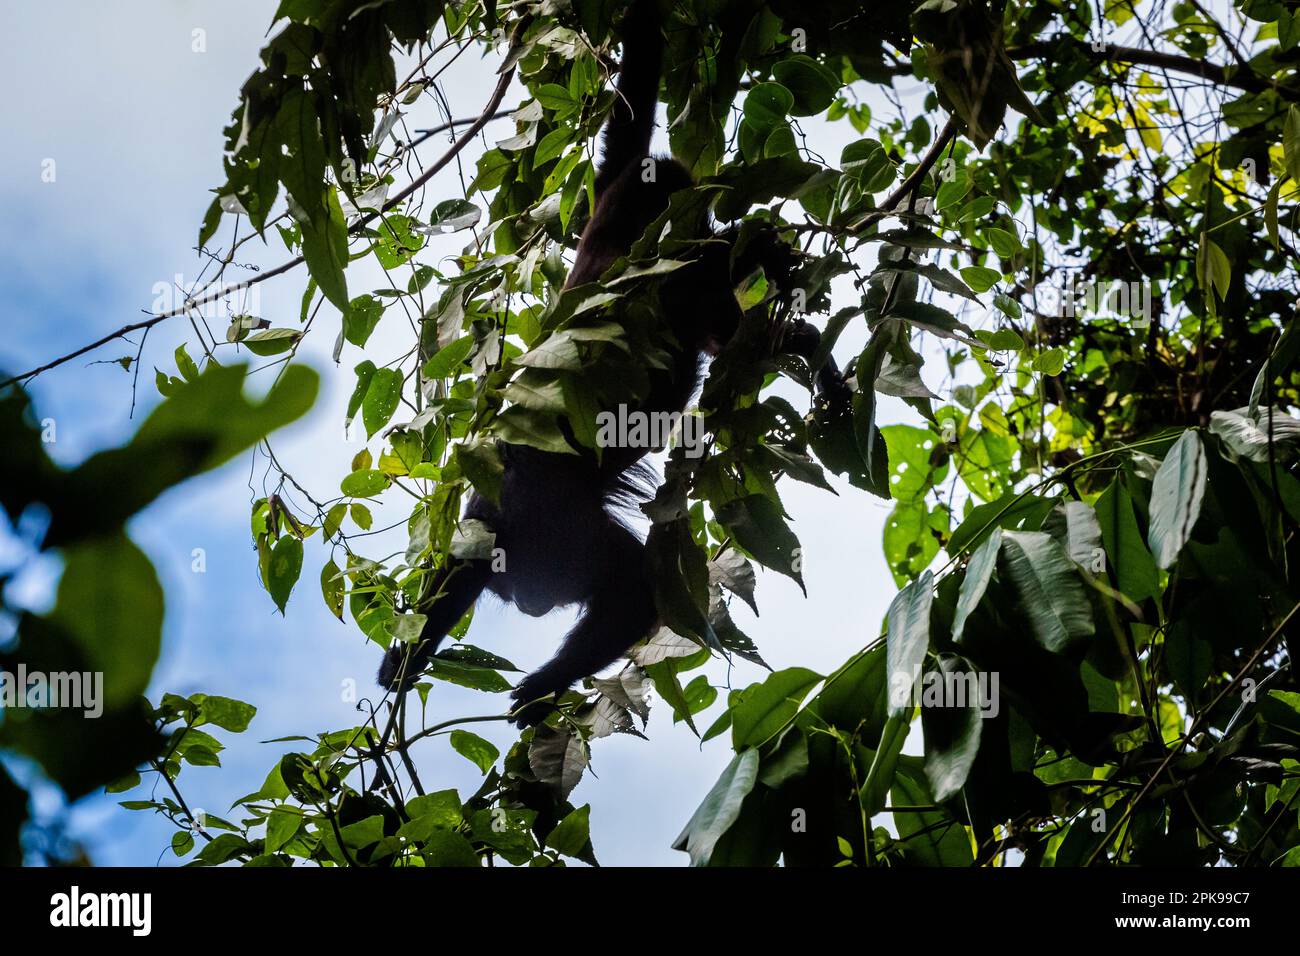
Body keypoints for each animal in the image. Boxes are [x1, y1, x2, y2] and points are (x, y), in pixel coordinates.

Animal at [378, 0, 849, 726]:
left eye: (540, 584)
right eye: (514, 598)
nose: (533, 606)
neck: (514, 522)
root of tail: (617, 197)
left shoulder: (563, 526)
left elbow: (636, 590)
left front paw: (539, 688)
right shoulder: (481, 530)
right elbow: (453, 581)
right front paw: (399, 662)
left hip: (669, 228)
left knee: (718, 261)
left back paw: (781, 278)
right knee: (730, 328)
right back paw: (799, 340)